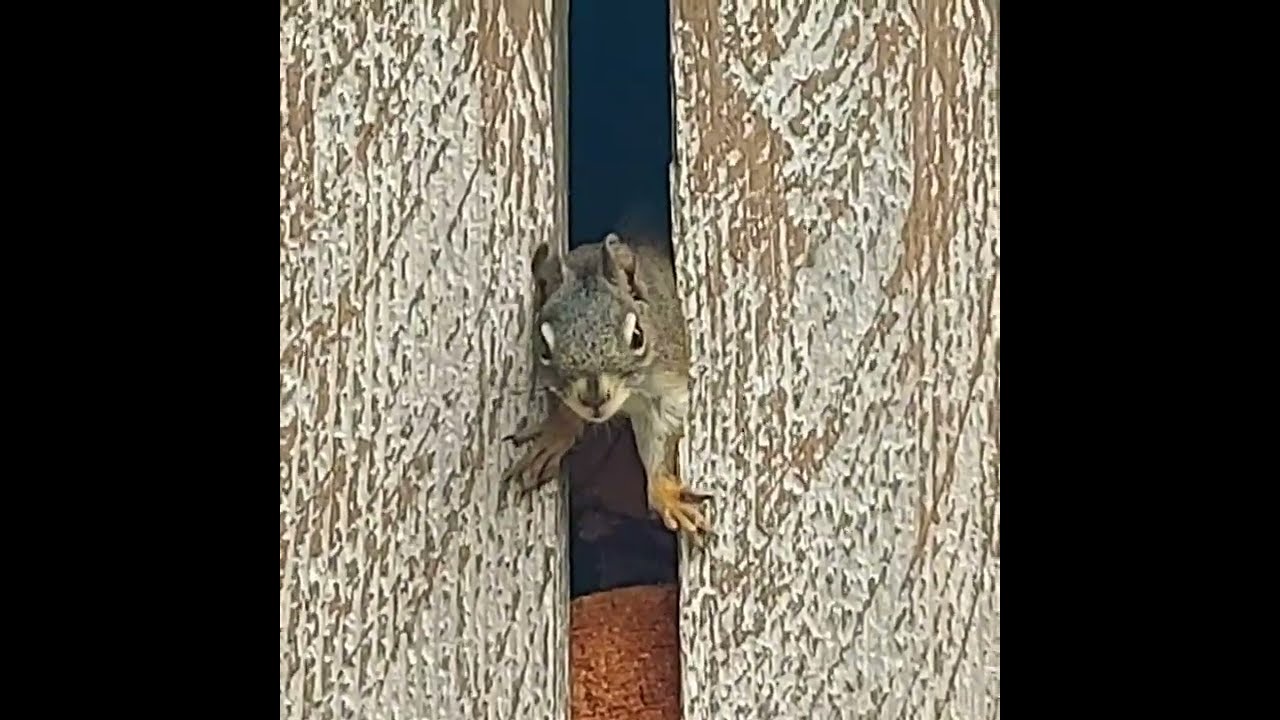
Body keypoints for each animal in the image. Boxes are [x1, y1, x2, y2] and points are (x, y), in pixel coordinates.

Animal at [502, 231, 711, 541]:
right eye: (544, 347)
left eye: (637, 336)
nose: (595, 400)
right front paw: (555, 434)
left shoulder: (670, 382)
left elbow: (663, 432)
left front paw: (666, 495)